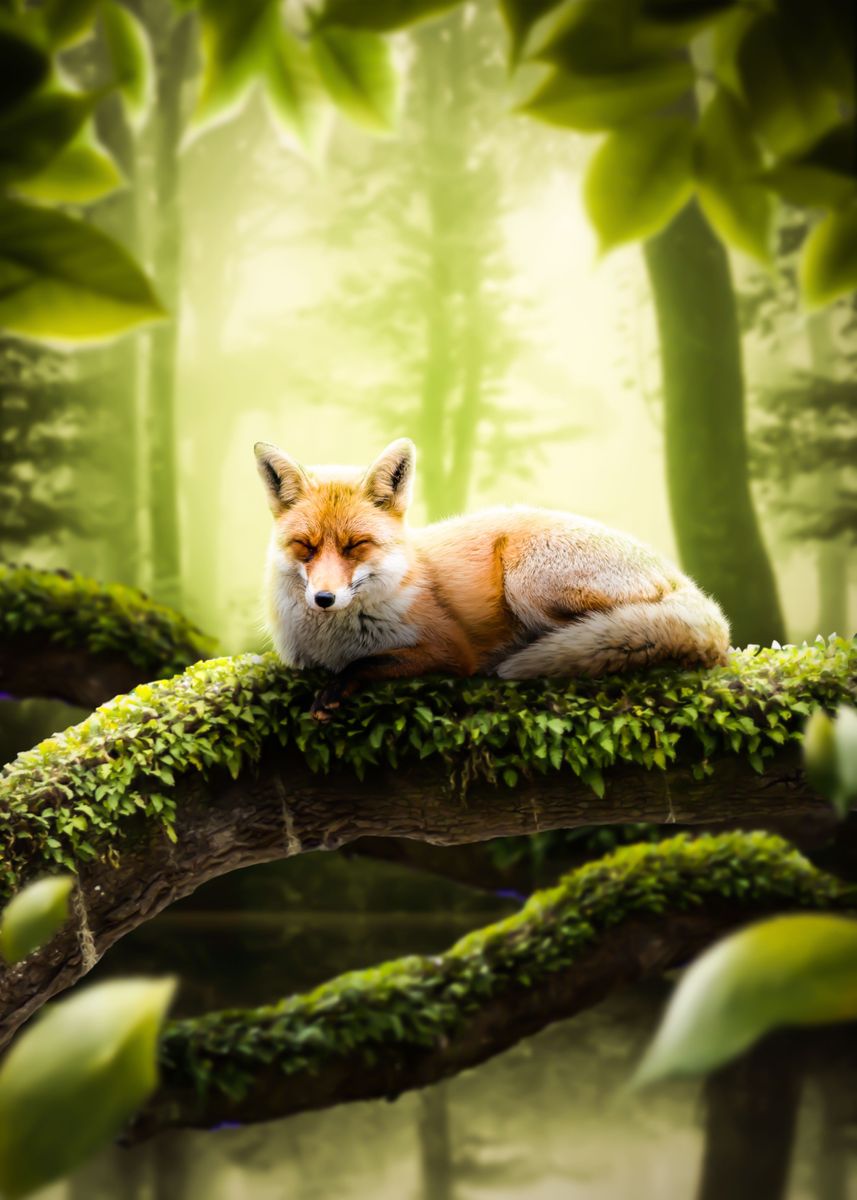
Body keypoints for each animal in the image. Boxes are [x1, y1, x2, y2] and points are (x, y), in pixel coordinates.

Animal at [255, 438, 730, 720]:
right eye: (305, 546)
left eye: (355, 545)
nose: (324, 598)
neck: (332, 640)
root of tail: (682, 579)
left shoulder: (448, 647)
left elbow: (369, 662)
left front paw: (340, 686)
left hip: (526, 583)